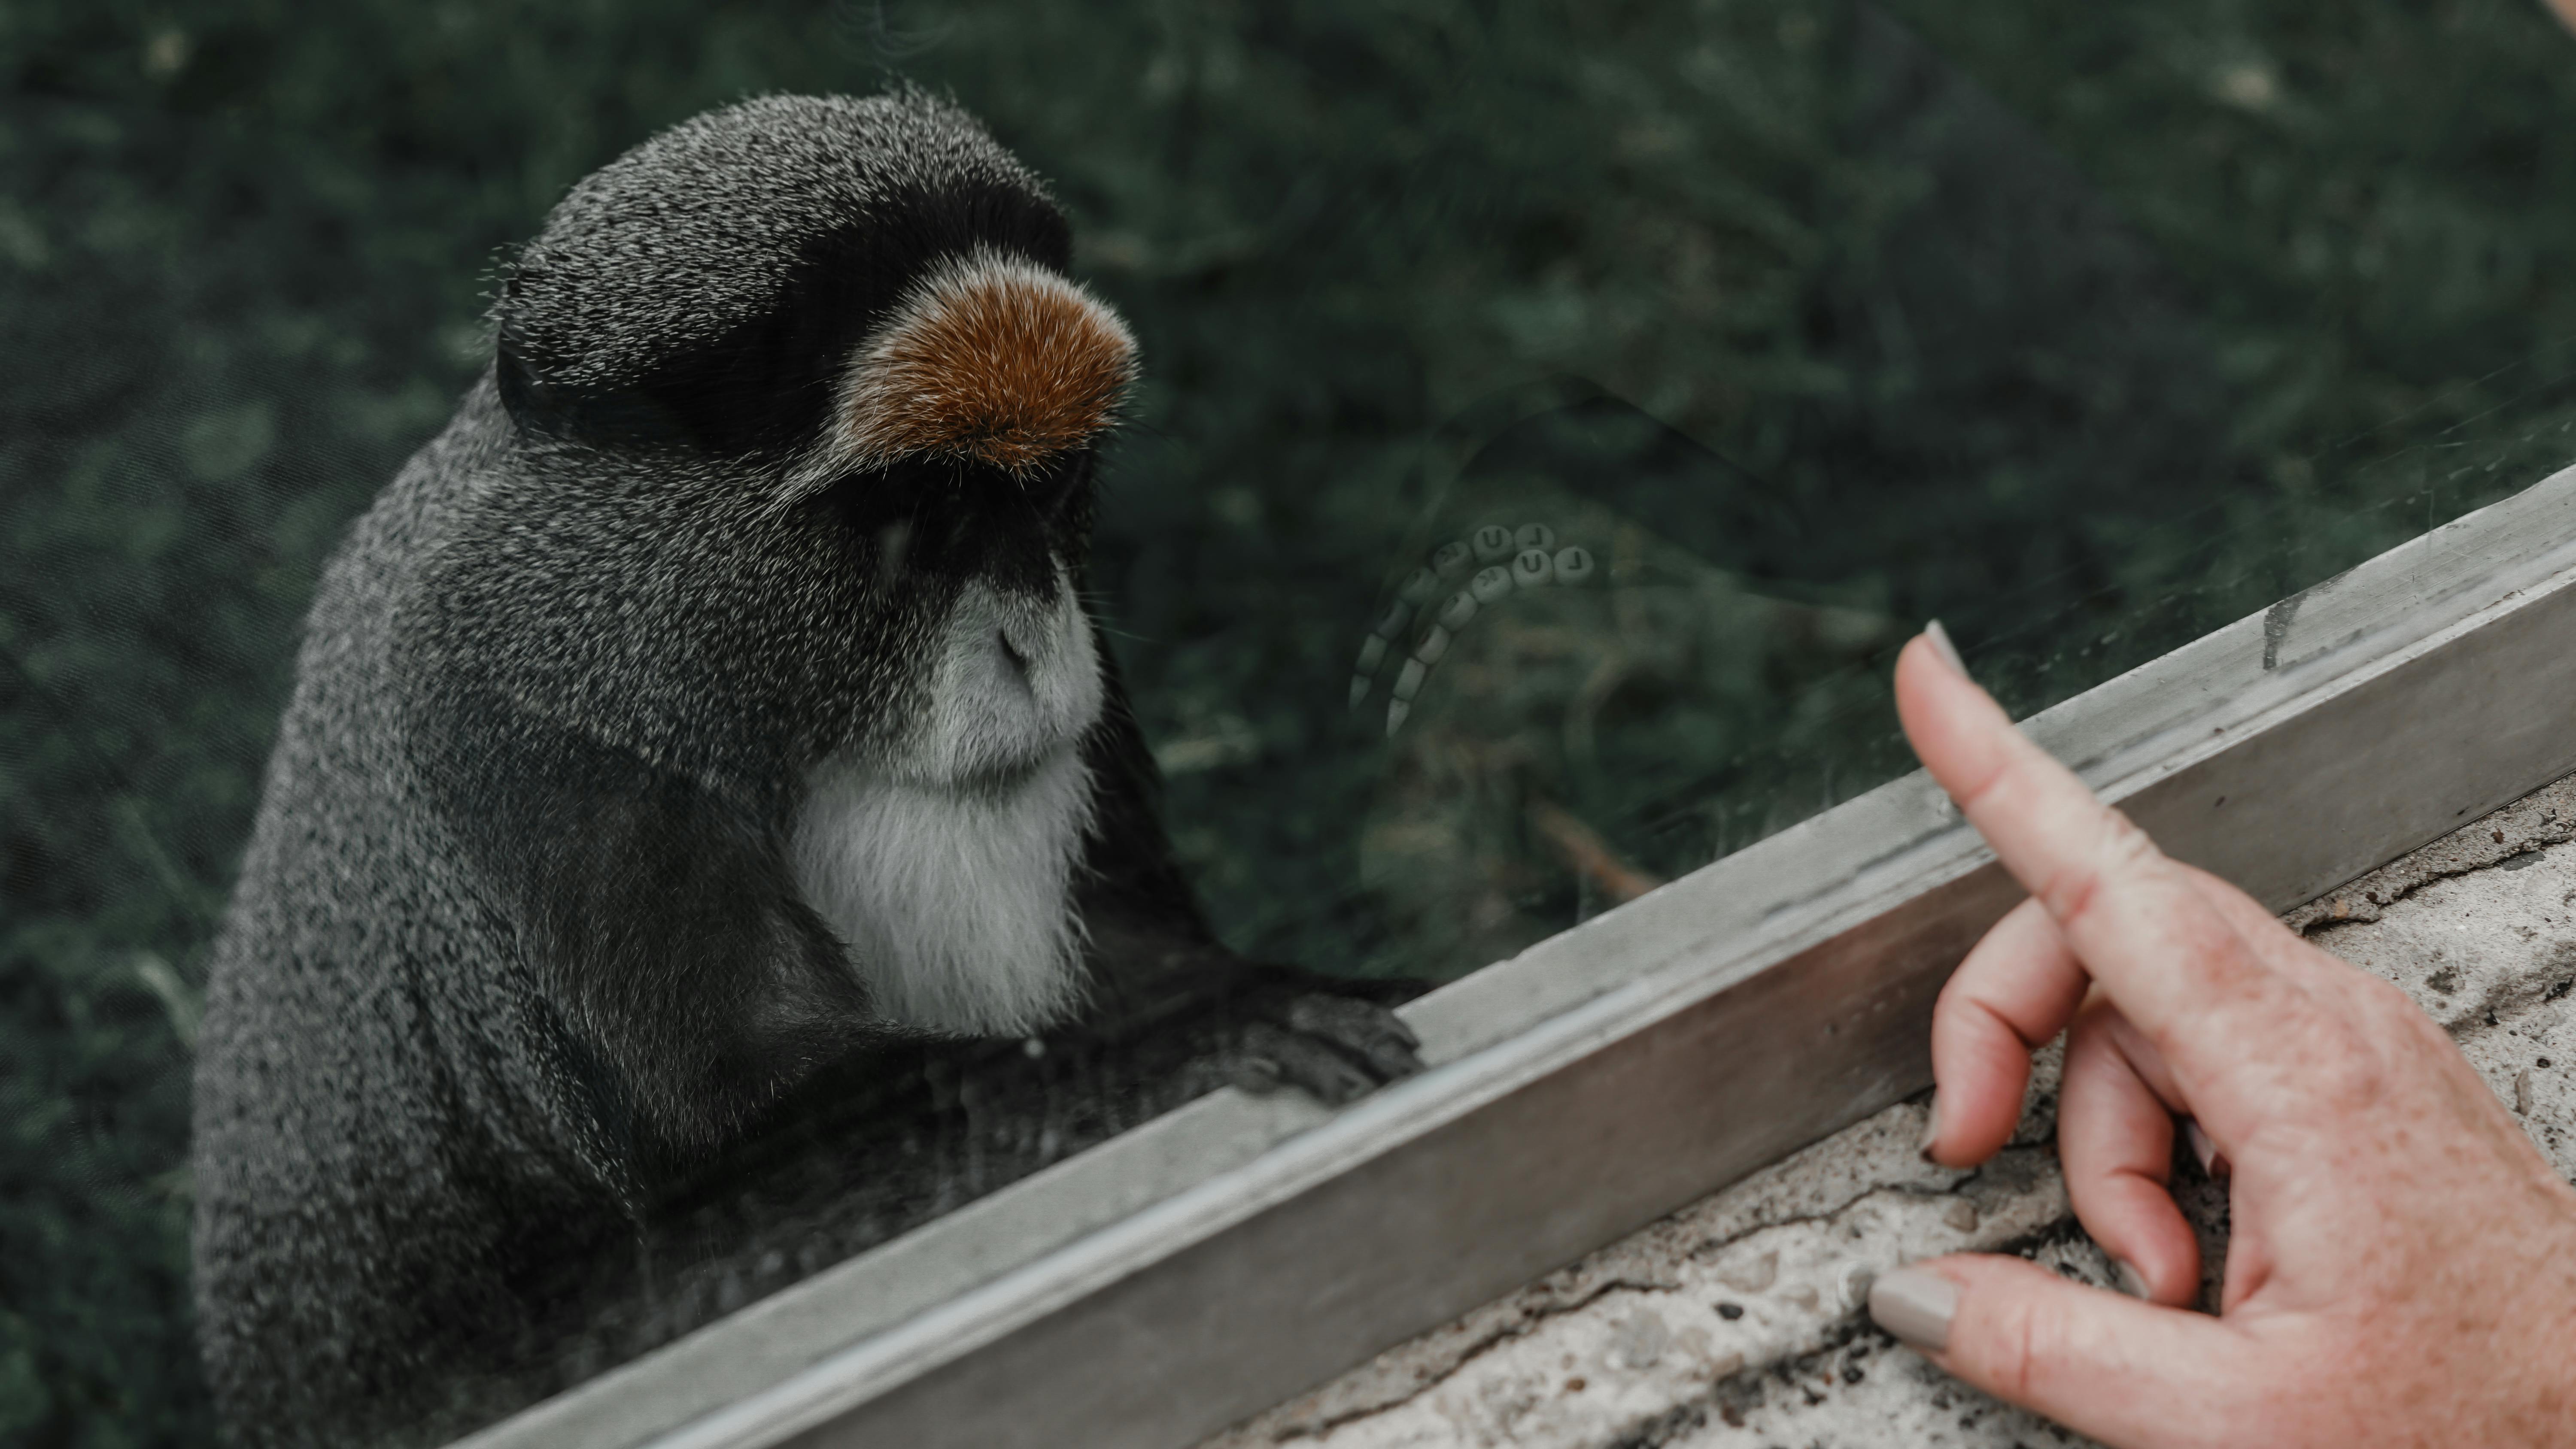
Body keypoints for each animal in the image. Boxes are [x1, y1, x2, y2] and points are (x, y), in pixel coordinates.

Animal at [189, 88, 1422, 1449]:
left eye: (1044, 483)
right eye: (918, 505)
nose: (1032, 640)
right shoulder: (532, 736)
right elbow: (752, 1175)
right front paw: (1194, 1041)